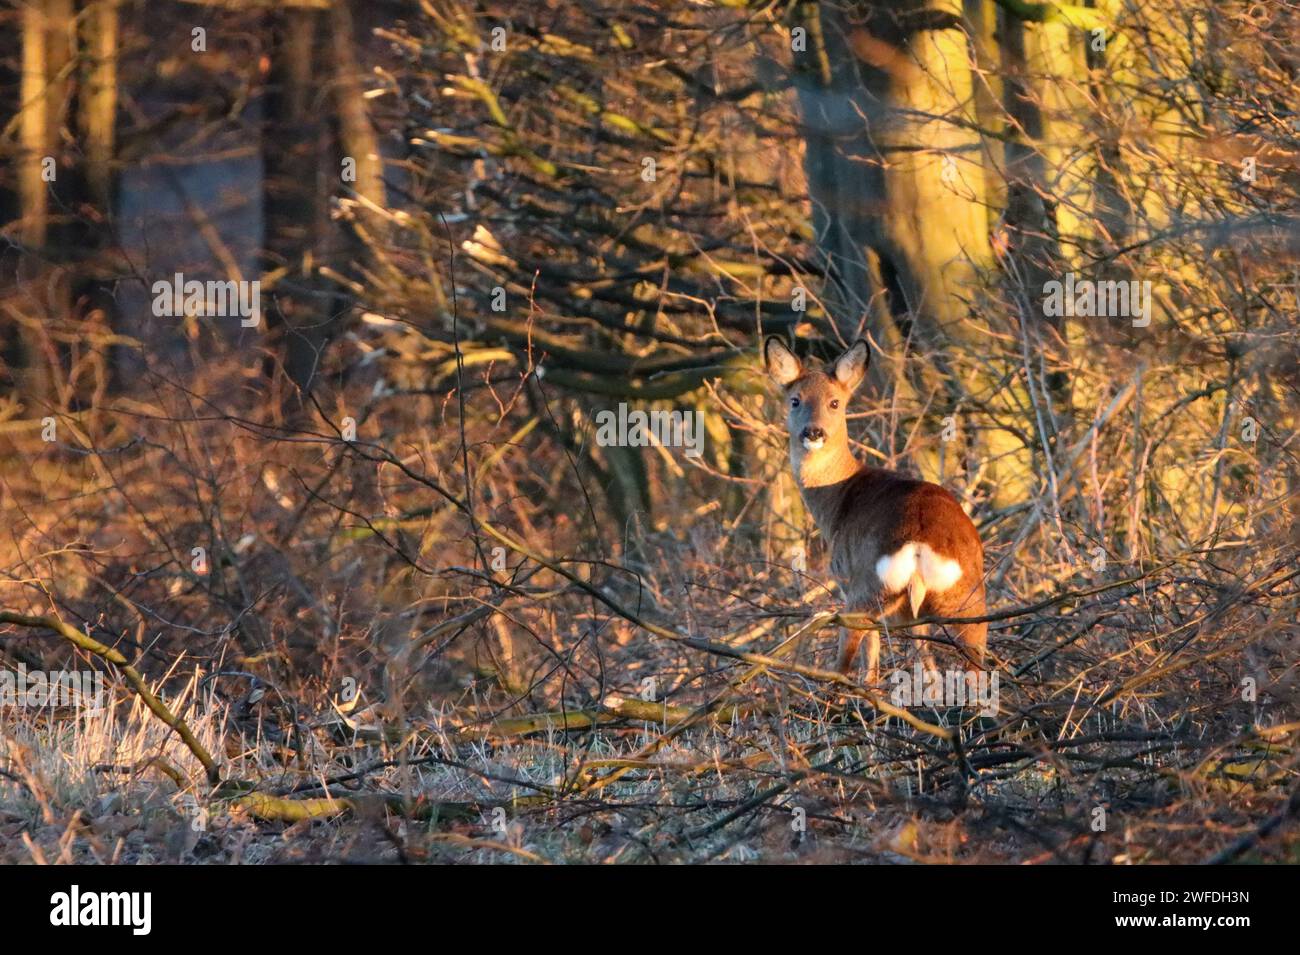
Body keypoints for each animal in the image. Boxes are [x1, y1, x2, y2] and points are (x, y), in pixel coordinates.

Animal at [763, 336, 987, 686]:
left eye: (835, 403)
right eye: (795, 400)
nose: (813, 432)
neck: (838, 497)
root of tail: (919, 543)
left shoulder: (847, 578)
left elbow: (870, 658)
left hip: (865, 591)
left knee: (849, 664)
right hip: (967, 601)